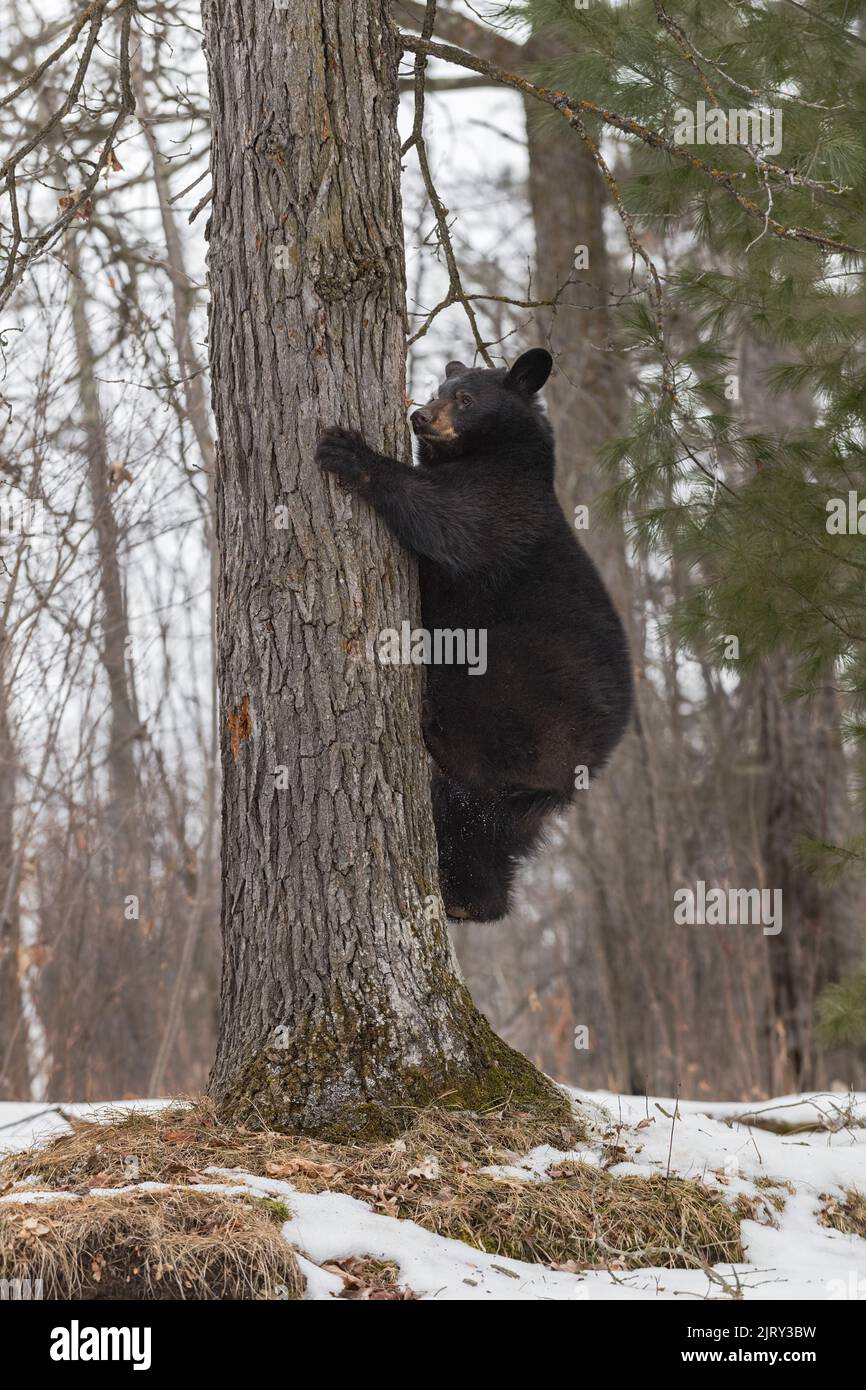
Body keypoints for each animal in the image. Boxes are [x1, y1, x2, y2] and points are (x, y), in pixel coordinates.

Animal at [316, 348, 632, 922]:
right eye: (439, 390)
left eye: (464, 398)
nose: (421, 415)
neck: (499, 456)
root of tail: (580, 771)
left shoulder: (501, 505)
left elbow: (446, 519)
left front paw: (348, 450)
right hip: (514, 805)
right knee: (478, 827)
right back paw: (470, 899)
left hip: (513, 685)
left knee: (473, 760)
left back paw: (432, 727)